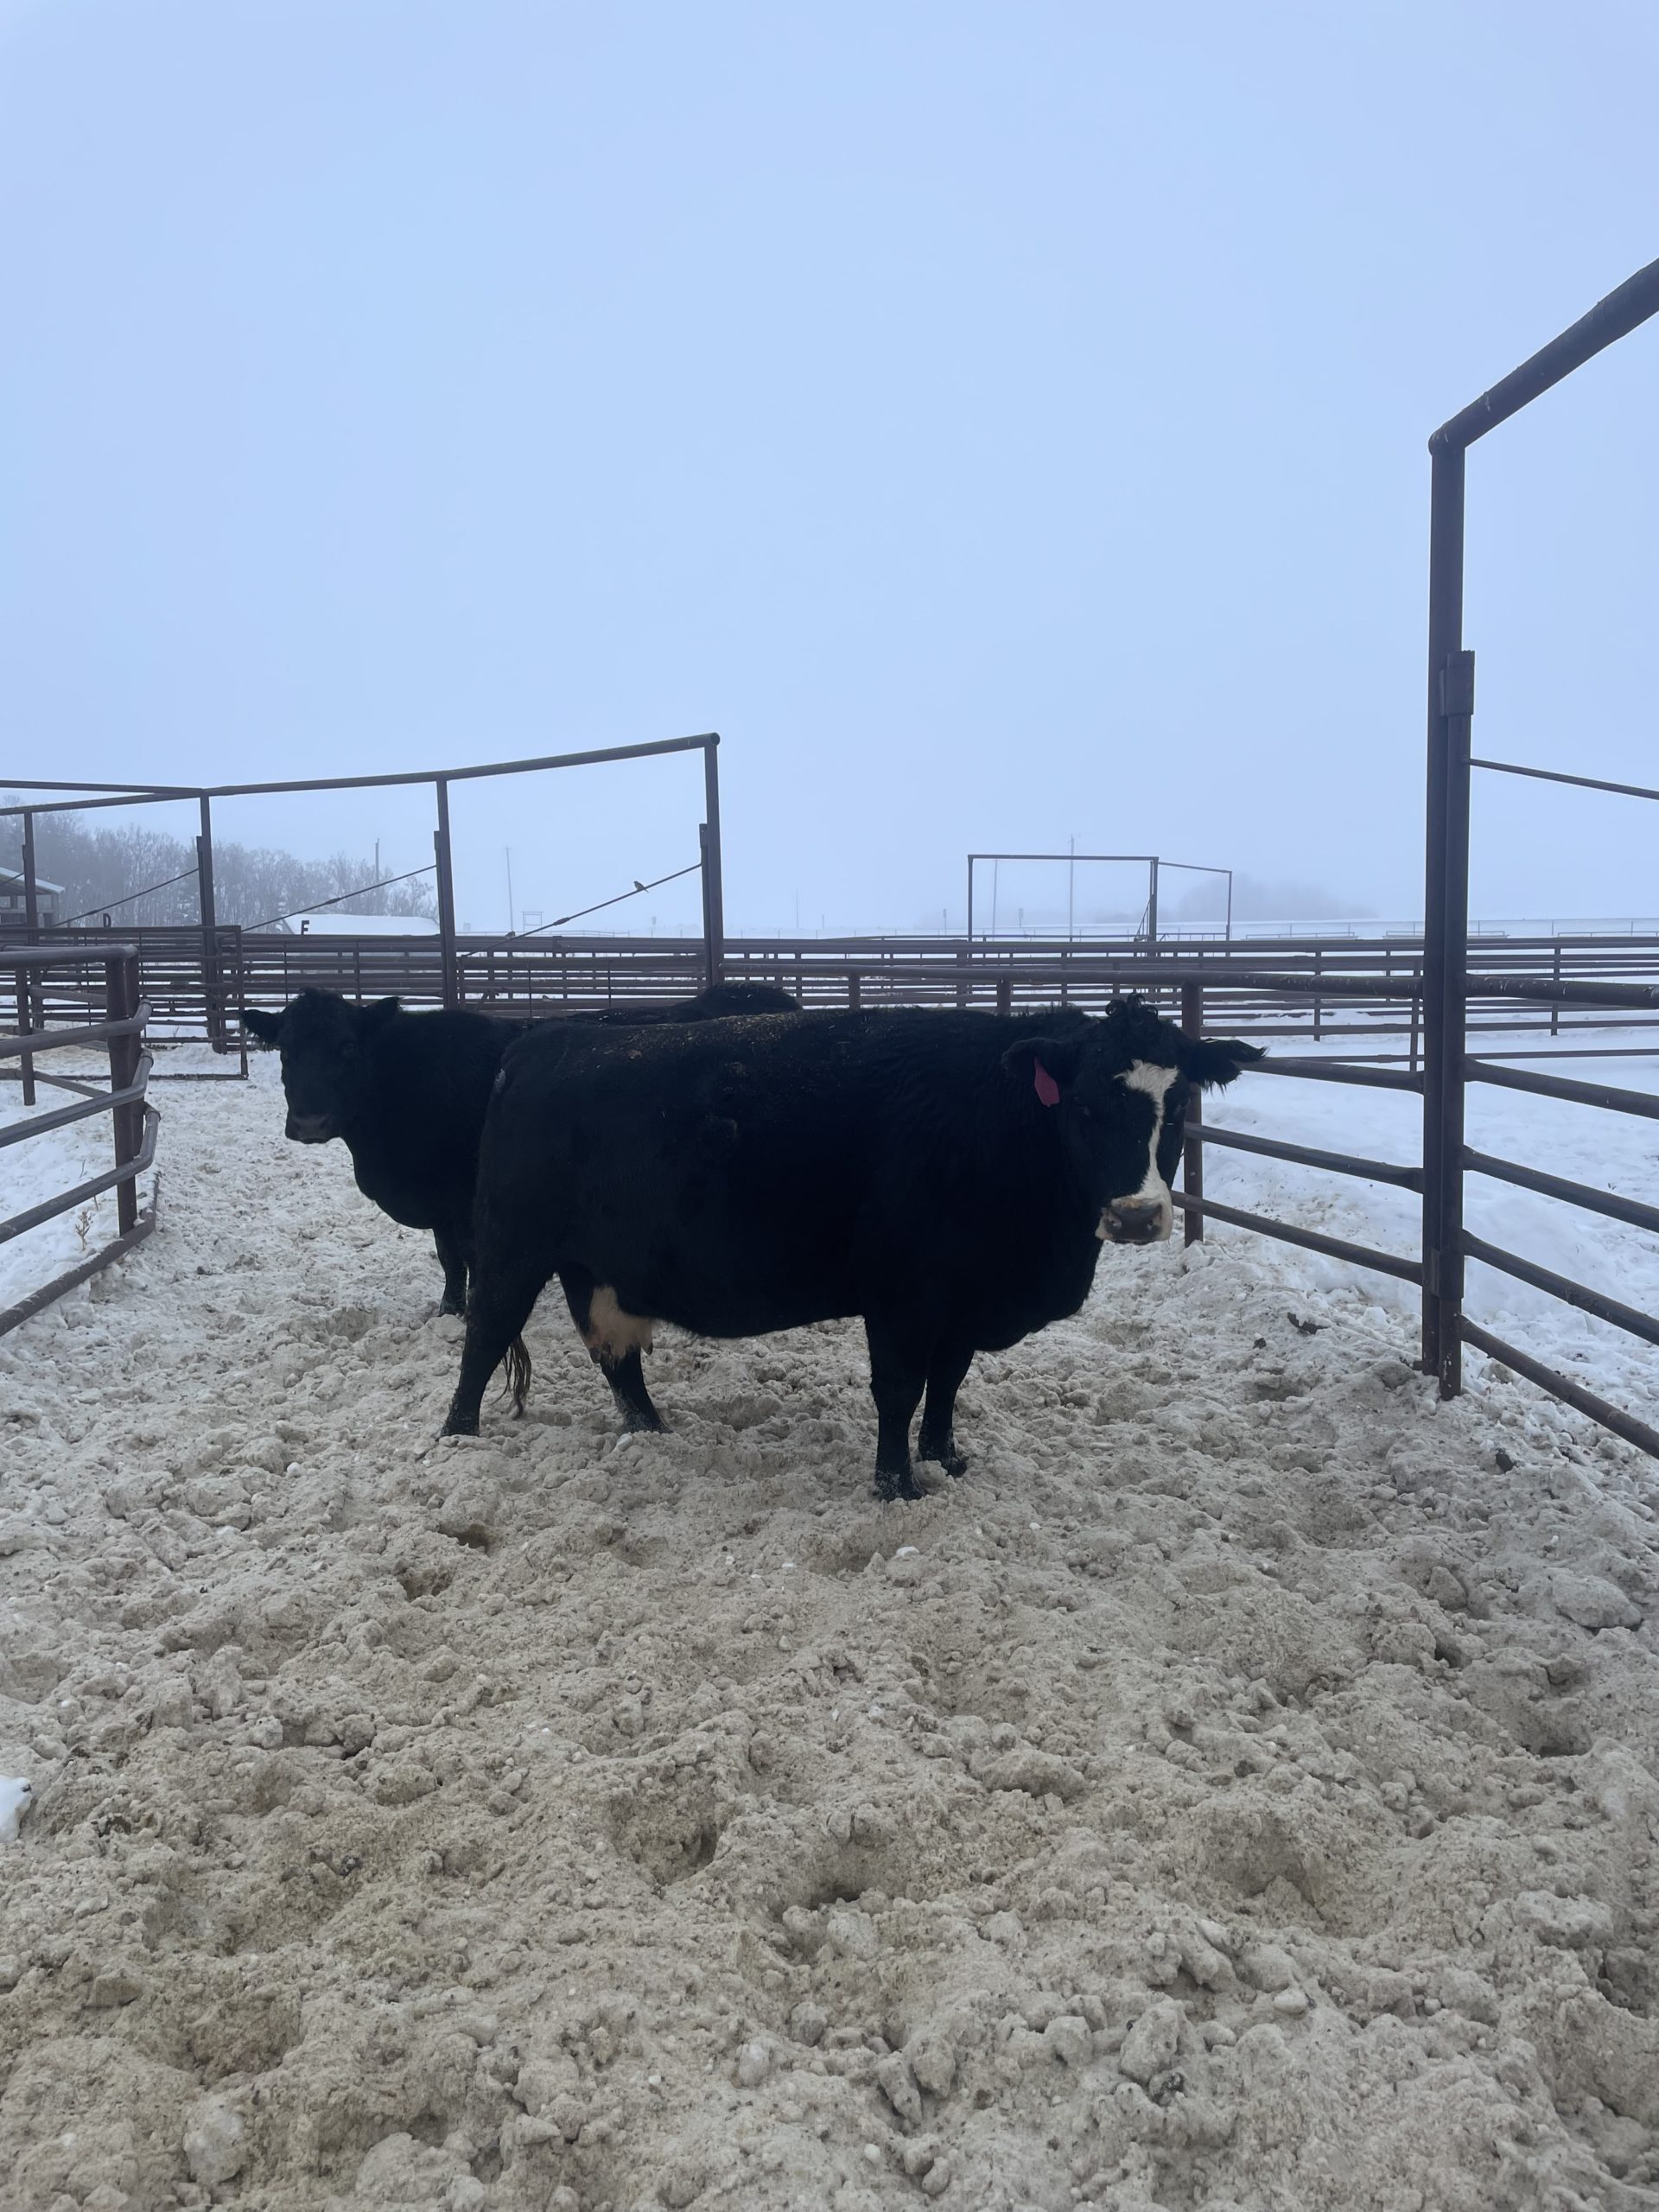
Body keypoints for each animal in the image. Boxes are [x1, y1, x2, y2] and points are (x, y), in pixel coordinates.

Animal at [239, 981, 799, 1314]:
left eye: (347, 1048)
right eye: (284, 1050)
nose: (309, 1121)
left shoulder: (465, 1194)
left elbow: (468, 1257)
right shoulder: (441, 1204)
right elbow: (448, 1259)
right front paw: (448, 1310)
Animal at [441, 997, 1261, 1498]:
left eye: (1178, 1103)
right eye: (1085, 1105)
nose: (1136, 1215)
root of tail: (539, 1042)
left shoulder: (963, 1301)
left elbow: (948, 1383)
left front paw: (946, 1458)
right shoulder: (904, 1291)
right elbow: (898, 1389)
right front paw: (896, 1484)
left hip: (601, 1268)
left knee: (619, 1359)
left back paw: (653, 1434)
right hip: (514, 1247)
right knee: (485, 1336)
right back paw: (458, 1439)